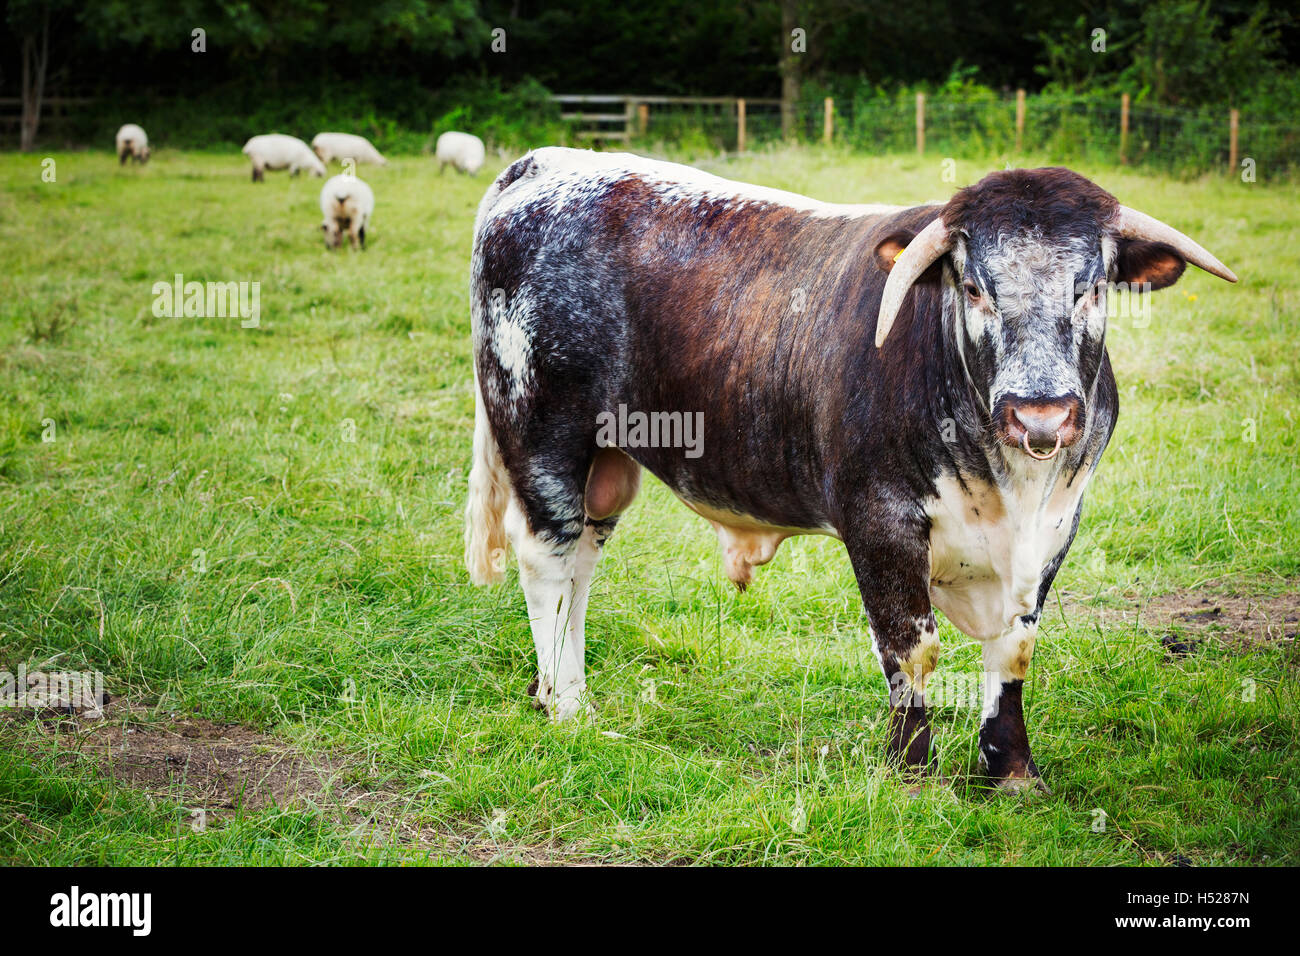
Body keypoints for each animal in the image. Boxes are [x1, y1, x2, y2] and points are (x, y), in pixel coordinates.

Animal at [464, 148, 1236, 791]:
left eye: (1092, 288)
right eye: (974, 288)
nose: (1039, 415)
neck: (1009, 481)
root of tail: (542, 164)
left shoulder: (1055, 528)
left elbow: (1014, 651)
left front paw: (1013, 770)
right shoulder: (880, 522)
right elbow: (911, 650)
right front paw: (913, 770)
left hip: (606, 463)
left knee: (582, 566)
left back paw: (566, 692)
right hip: (542, 435)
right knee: (548, 562)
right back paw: (566, 708)